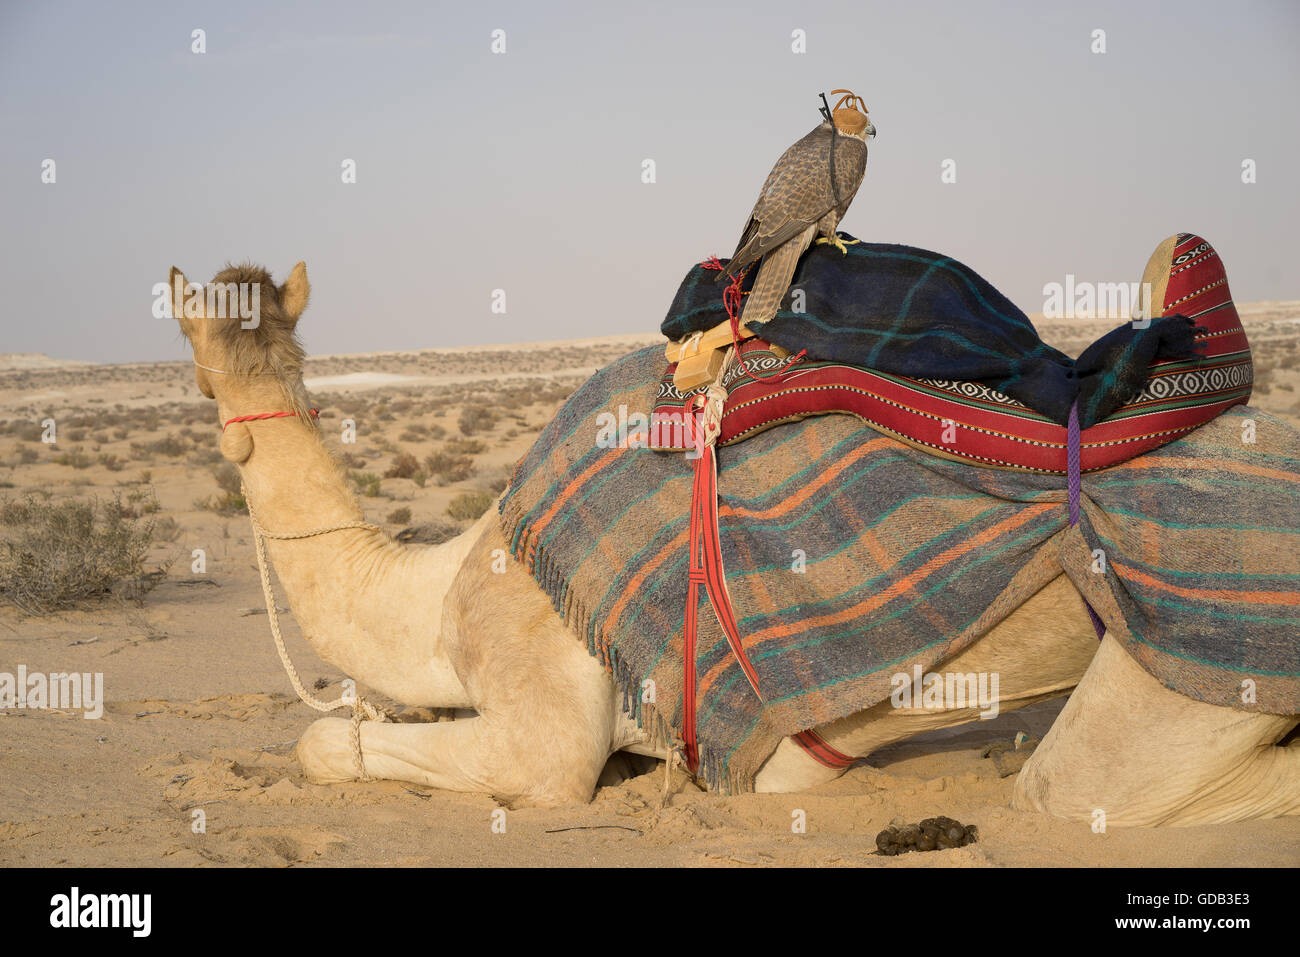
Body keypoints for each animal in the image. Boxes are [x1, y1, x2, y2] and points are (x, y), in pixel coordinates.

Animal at [168, 261, 1300, 827]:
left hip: (1196, 657)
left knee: (1083, 792)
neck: (444, 586)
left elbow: (330, 743)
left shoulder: (545, 718)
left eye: (187, 347)